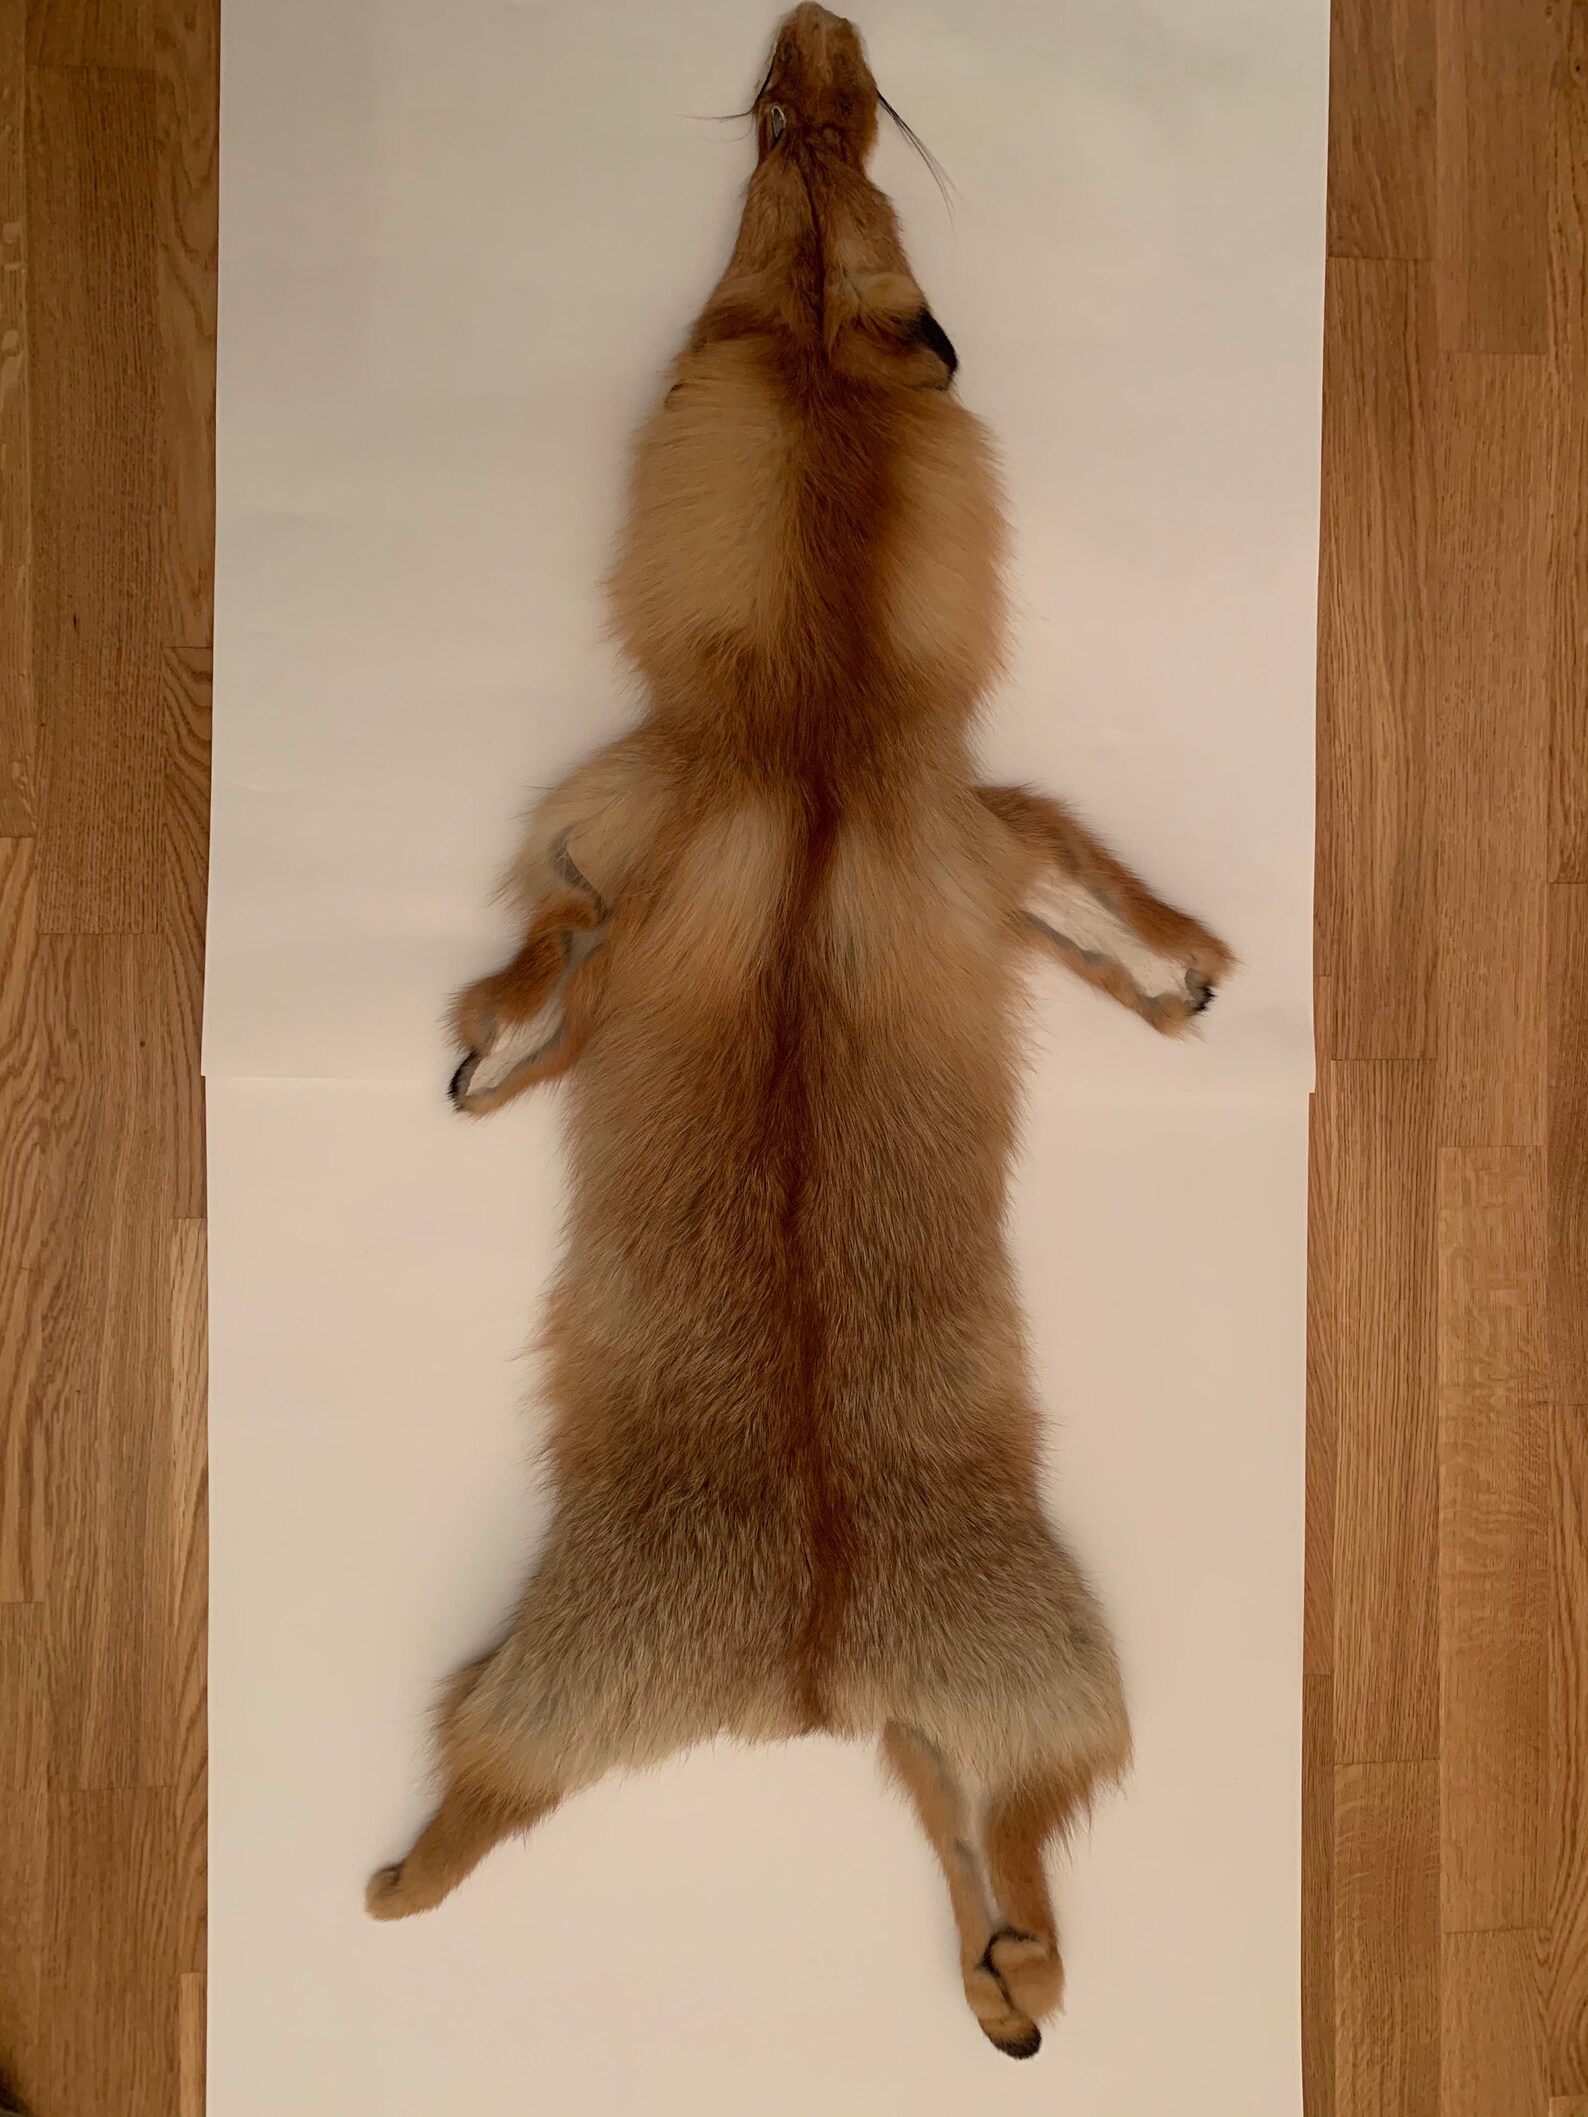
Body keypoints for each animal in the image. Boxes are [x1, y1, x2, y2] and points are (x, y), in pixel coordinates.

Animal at [366, 3, 1234, 2060]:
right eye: (789, 194)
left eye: (838, 217)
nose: (818, 40)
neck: (823, 723)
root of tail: (807, 1667)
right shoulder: (895, 825)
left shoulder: (650, 804)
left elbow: (1084, 883)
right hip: (1004, 1704)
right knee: (966, 1825)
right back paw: (1004, 1985)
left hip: (655, 1696)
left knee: (484, 1829)